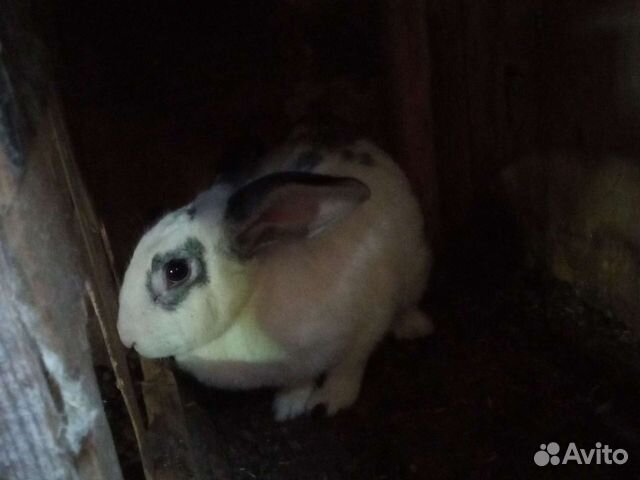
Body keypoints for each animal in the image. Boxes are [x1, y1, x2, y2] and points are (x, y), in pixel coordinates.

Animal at [117, 138, 433, 421]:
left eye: (176, 271)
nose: (126, 338)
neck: (252, 298)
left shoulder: (370, 321)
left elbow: (348, 366)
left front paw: (328, 401)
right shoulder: (296, 367)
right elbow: (298, 381)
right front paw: (289, 406)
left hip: (415, 269)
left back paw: (414, 327)